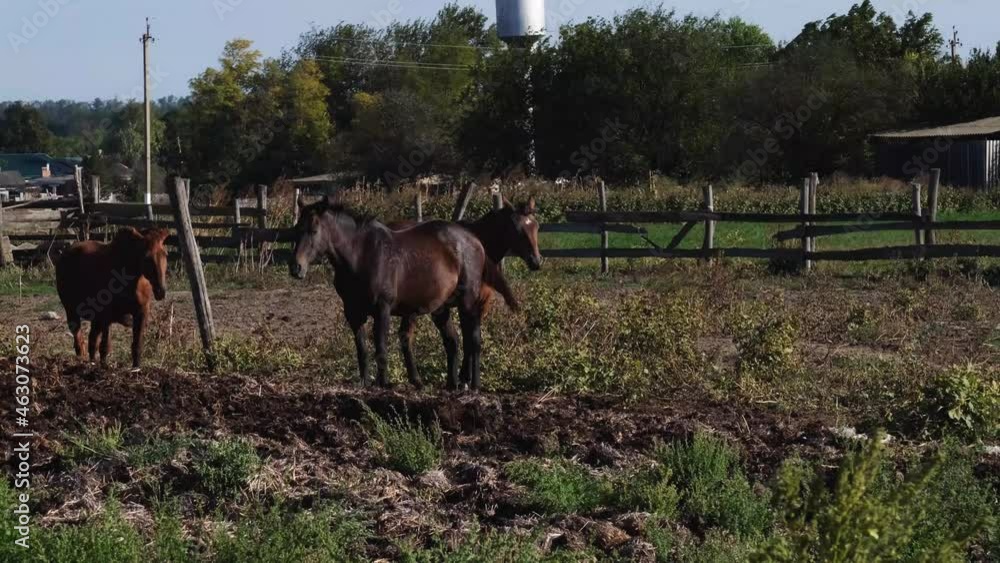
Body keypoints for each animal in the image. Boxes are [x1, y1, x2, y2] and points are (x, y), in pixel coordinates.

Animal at [55, 227, 169, 369]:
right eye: (146, 257)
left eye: (165, 254)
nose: (161, 291)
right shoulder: (106, 315)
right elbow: (104, 347)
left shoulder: (141, 311)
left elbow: (137, 345)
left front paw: (136, 367)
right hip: (72, 311)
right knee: (79, 341)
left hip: (95, 319)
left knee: (91, 340)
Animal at [289, 197, 518, 390]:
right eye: (296, 229)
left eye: (314, 230)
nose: (296, 268)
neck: (361, 255)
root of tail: (474, 240)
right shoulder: (353, 313)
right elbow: (362, 349)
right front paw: (364, 383)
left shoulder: (382, 309)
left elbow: (381, 346)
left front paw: (382, 384)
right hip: (441, 308)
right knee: (452, 342)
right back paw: (452, 385)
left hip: (467, 302)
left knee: (473, 340)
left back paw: (473, 385)